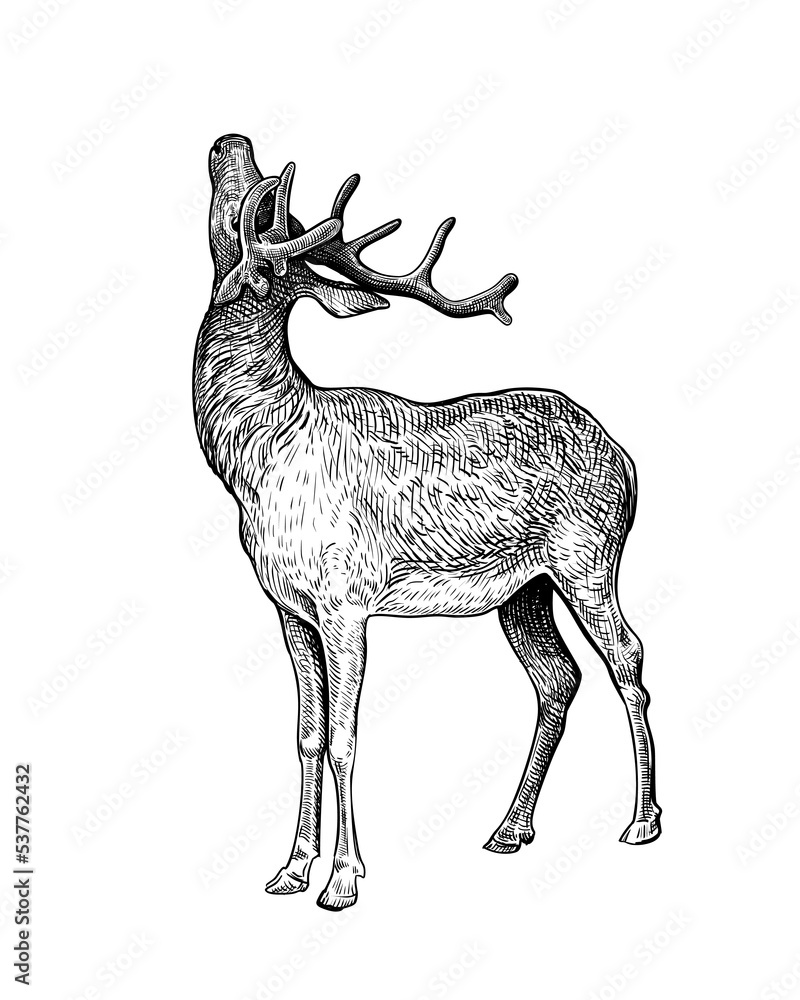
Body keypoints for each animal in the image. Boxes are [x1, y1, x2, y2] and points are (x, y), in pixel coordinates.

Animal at [193, 134, 661, 911]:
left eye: (257, 219)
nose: (233, 141)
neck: (258, 464)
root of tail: (628, 460)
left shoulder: (346, 601)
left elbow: (346, 737)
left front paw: (342, 880)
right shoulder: (288, 606)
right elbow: (306, 736)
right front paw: (289, 872)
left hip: (589, 561)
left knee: (628, 658)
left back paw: (642, 822)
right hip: (523, 591)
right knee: (558, 678)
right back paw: (510, 829)